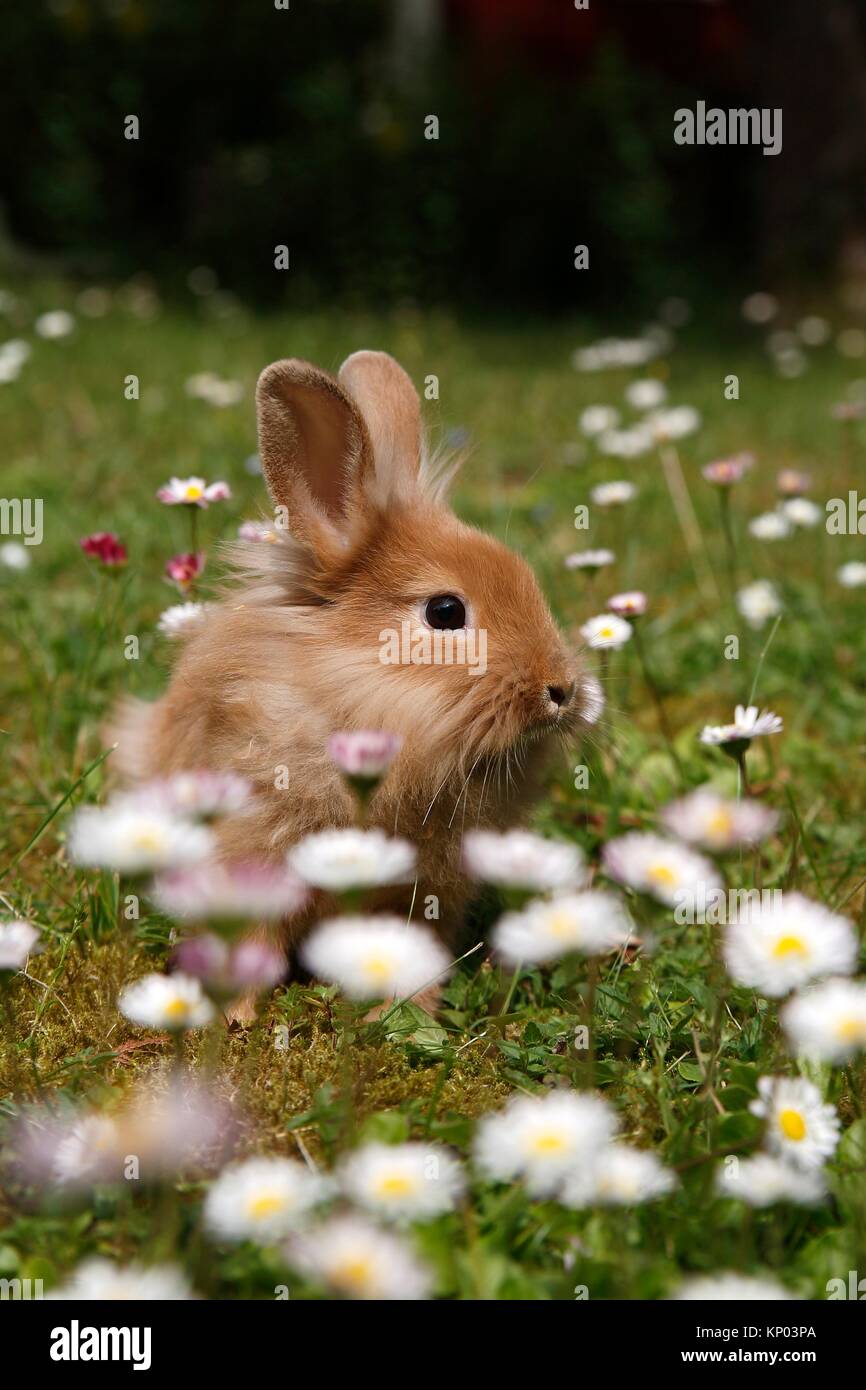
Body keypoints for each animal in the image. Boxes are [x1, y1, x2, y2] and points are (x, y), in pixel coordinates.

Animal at [111, 351, 598, 1022]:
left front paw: (403, 1012)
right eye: (445, 611)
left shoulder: (427, 892)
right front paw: (234, 1016)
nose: (561, 690)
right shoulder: (251, 850)